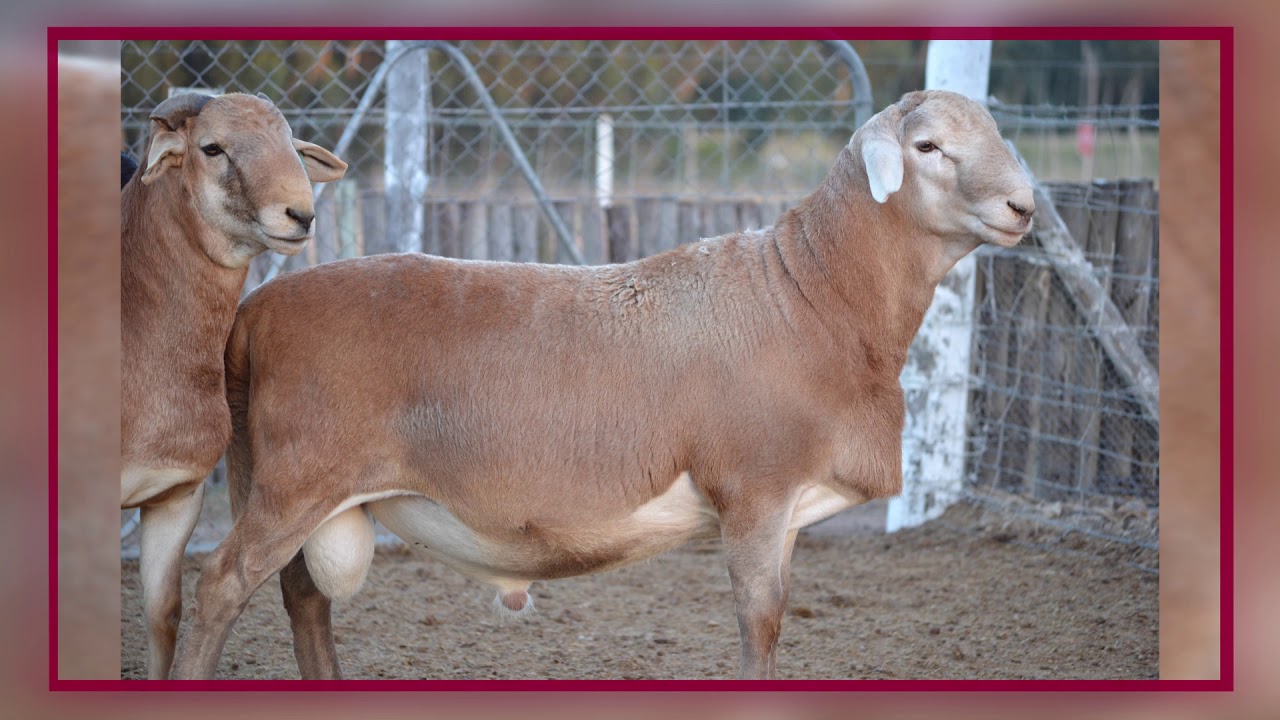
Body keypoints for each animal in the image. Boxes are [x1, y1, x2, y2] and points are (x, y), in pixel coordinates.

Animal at [169, 89, 1034, 680]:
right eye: (928, 146)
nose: (1024, 205)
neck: (813, 293)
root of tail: (256, 312)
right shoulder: (756, 489)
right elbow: (760, 626)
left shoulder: (785, 507)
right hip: (298, 479)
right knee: (218, 588)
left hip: (288, 483)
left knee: (302, 601)